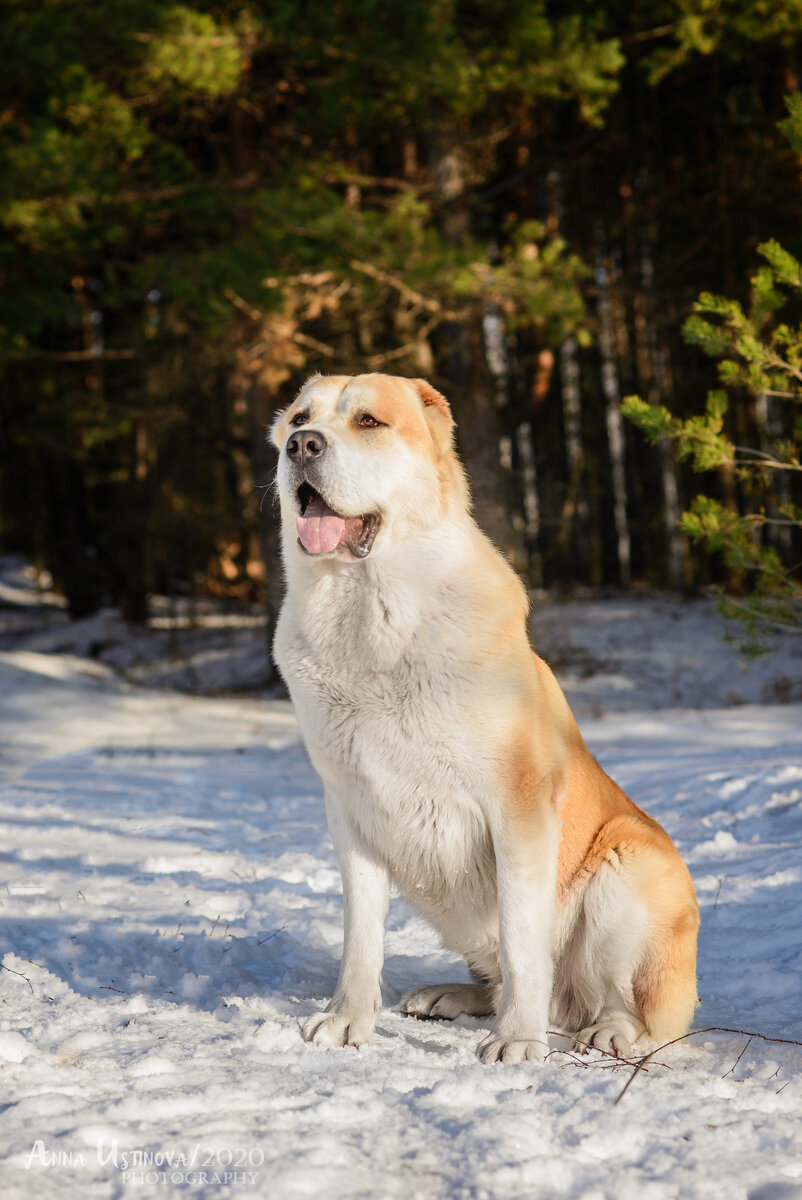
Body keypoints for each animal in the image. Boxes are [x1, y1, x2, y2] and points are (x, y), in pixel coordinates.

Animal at [268, 369, 696, 1065]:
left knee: (639, 1011)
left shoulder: (518, 810)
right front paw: (349, 1019)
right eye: (301, 418)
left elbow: (523, 938)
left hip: (630, 868)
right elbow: (361, 935)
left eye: (368, 422)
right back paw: (448, 996)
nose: (300, 446)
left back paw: (605, 1030)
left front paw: (518, 1041)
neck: (371, 614)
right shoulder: (350, 811)